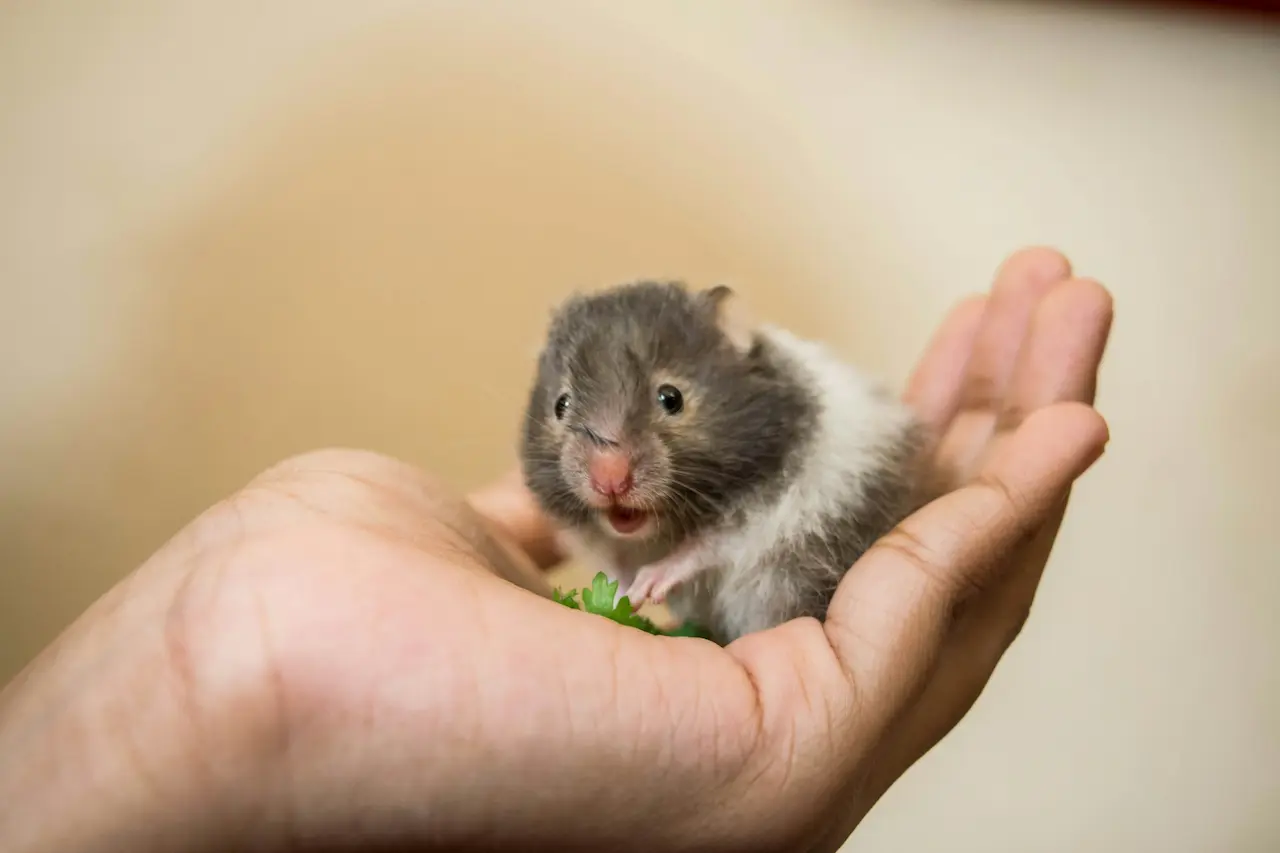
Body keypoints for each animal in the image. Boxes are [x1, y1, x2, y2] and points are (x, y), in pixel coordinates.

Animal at [520, 280, 929, 645]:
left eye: (671, 398)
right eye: (561, 405)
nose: (609, 481)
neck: (661, 530)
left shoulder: (762, 509)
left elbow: (704, 546)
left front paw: (649, 584)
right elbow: (614, 566)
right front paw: (623, 595)